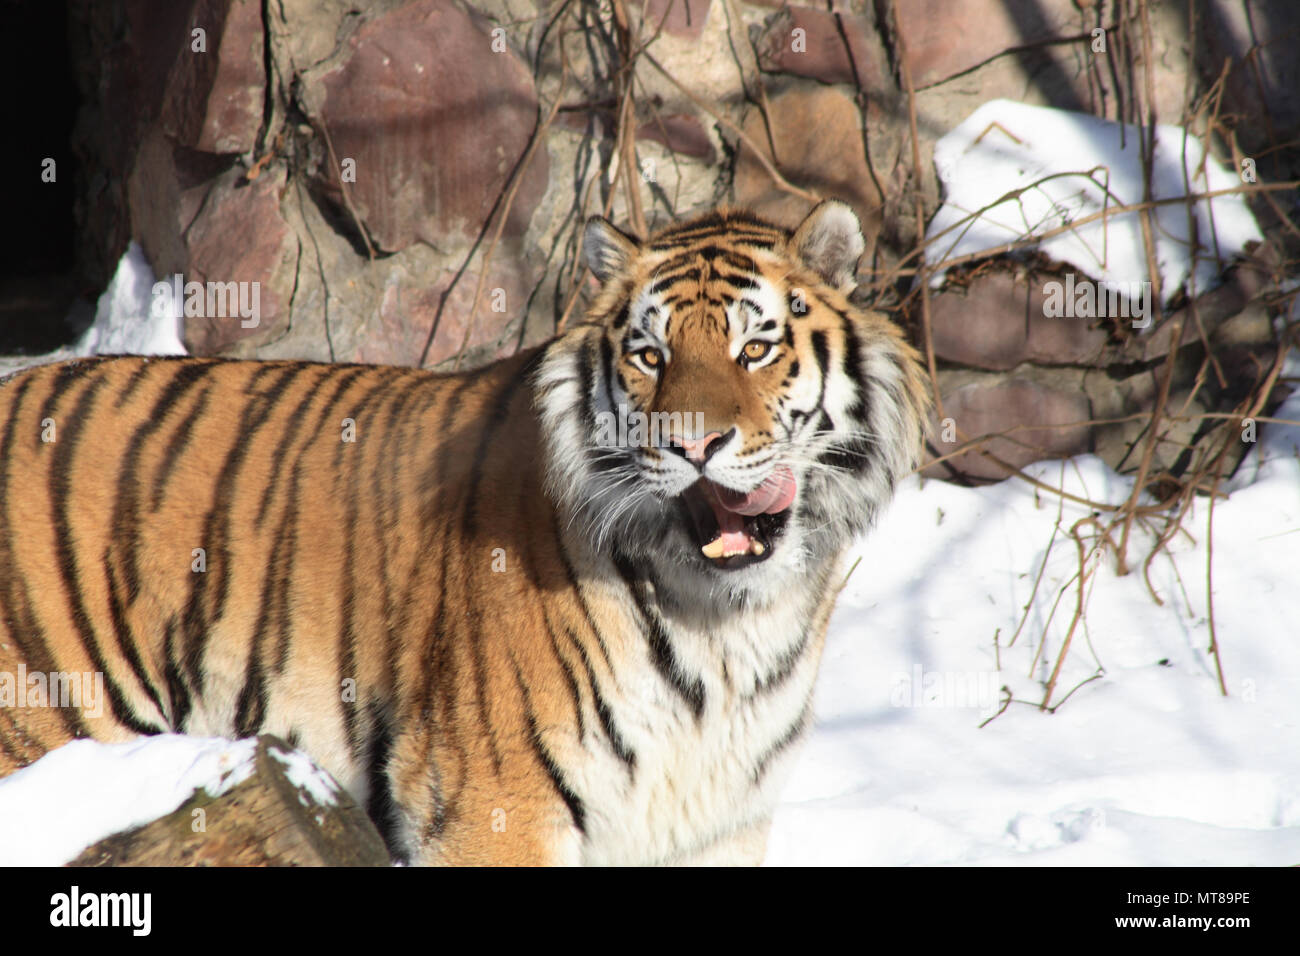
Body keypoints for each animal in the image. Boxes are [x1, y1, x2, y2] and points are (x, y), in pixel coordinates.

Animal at [0, 200, 929, 865]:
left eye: (756, 348)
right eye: (651, 356)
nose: (691, 445)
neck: (726, 624)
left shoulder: (718, 822)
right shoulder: (493, 801)